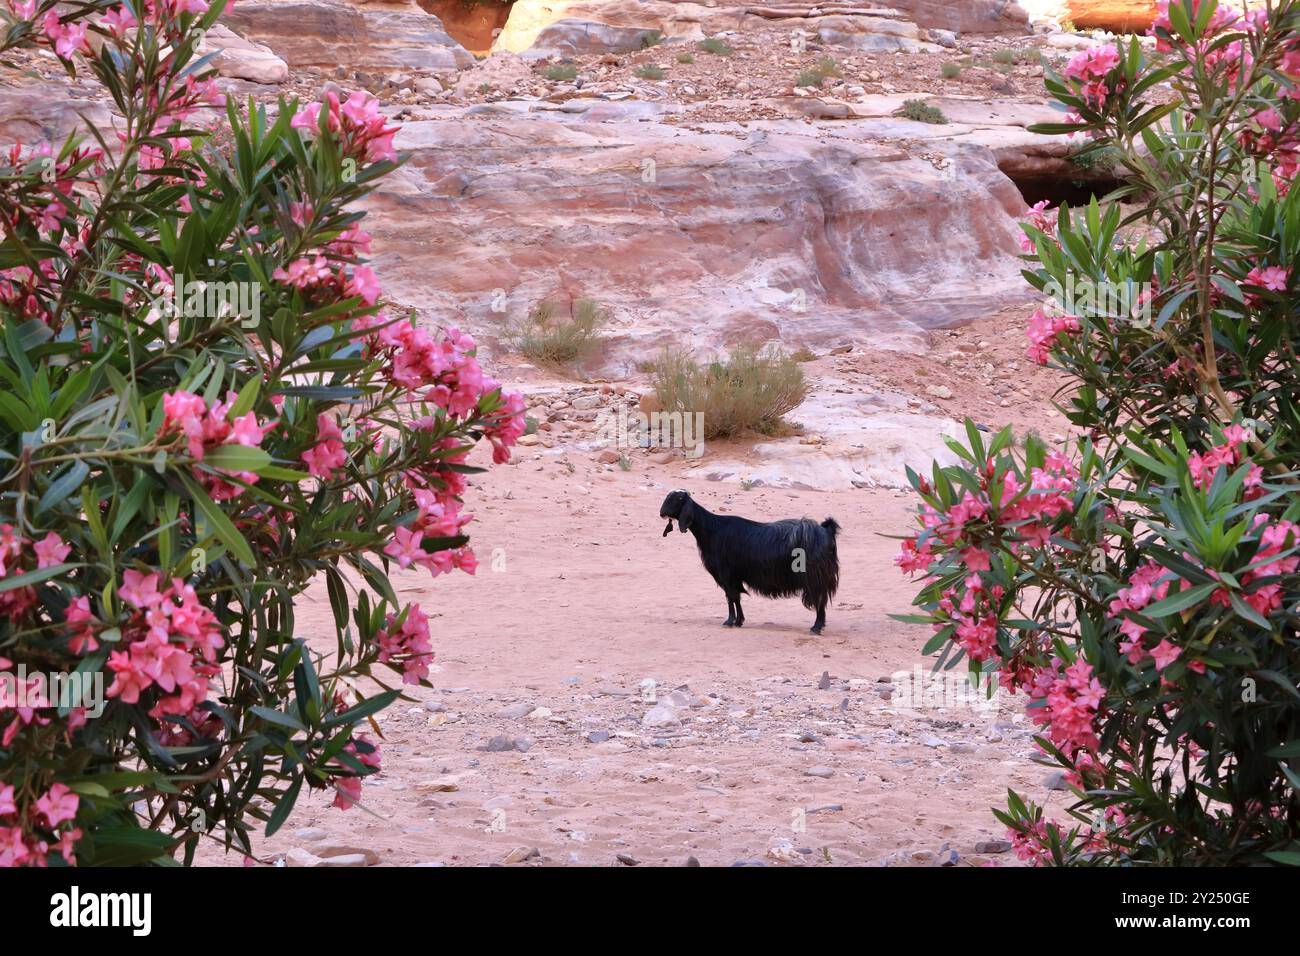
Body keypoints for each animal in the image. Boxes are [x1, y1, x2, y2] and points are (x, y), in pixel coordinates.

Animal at [659, 489, 840, 634]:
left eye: (678, 499)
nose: (661, 512)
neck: (712, 530)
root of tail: (826, 530)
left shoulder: (726, 574)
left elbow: (731, 596)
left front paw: (730, 621)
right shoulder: (734, 577)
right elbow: (736, 597)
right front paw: (739, 621)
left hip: (815, 576)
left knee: (820, 599)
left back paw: (816, 627)